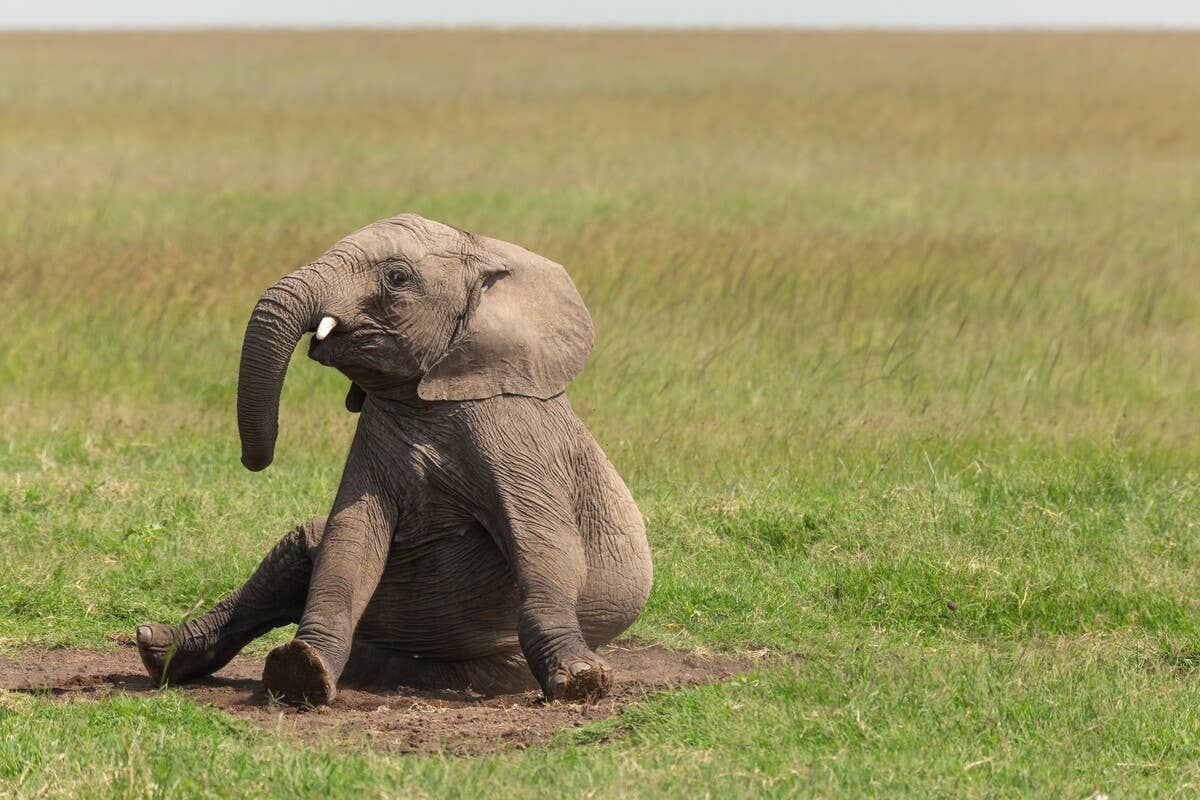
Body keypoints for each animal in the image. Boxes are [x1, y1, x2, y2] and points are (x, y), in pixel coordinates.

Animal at [134, 214, 652, 705]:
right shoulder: (377, 431)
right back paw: (157, 648)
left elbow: (546, 542)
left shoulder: (513, 430)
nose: (255, 460)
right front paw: (302, 672)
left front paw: (581, 681)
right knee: (300, 549)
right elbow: (351, 539)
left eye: (397, 277)